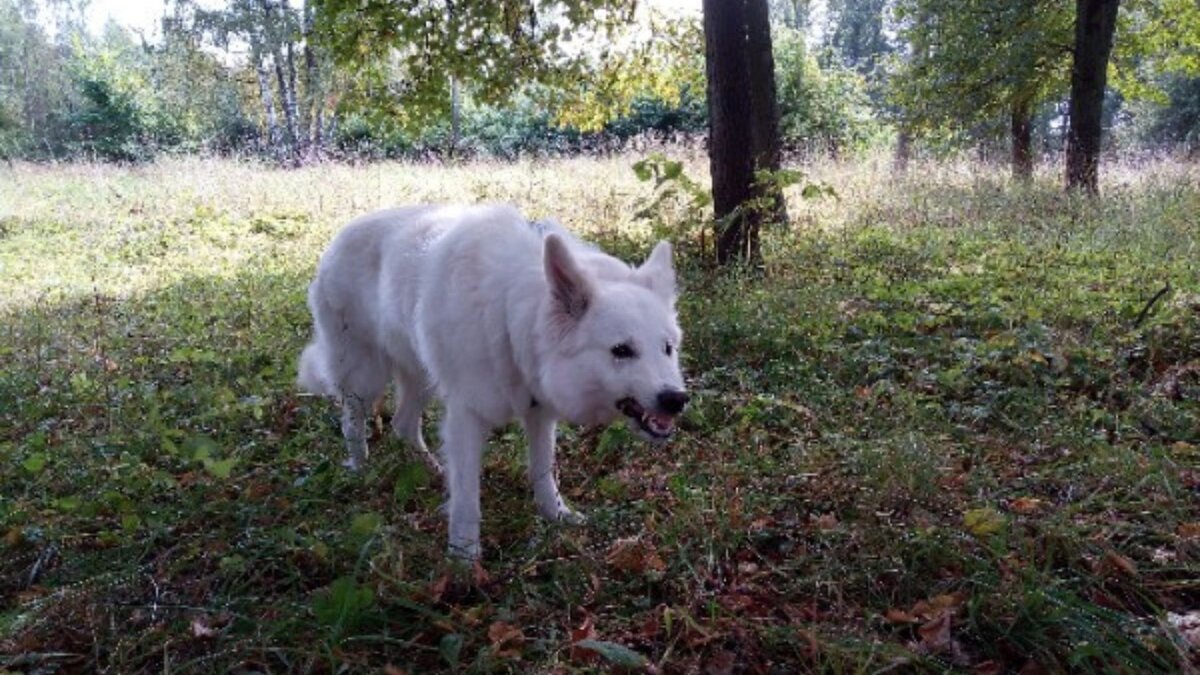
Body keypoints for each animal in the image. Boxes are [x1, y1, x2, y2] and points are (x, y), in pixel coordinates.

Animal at [296, 204, 691, 557]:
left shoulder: (538, 411)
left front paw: (556, 516)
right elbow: (468, 502)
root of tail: (339, 238)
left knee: (403, 424)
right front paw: (464, 562)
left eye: (667, 348)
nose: (677, 399)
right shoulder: (467, 417)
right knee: (353, 423)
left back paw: (432, 469)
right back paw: (362, 471)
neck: (510, 318)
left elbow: (543, 471)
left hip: (421, 377)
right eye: (621, 350)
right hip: (365, 377)